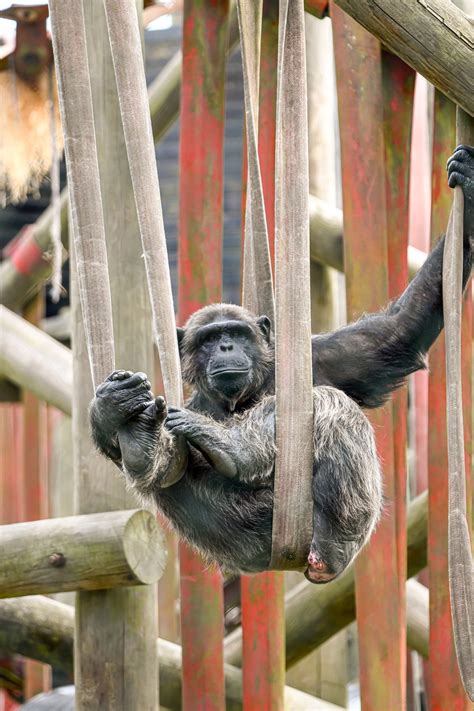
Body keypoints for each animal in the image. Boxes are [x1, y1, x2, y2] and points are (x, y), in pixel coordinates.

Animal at [90, 144, 473, 583]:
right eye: (209, 339)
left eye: (236, 333)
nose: (225, 346)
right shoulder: (188, 404)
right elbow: (170, 465)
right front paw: (111, 407)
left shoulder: (325, 357)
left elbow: (396, 334)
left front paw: (469, 182)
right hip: (249, 541)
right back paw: (145, 442)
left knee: (332, 405)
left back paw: (240, 457)